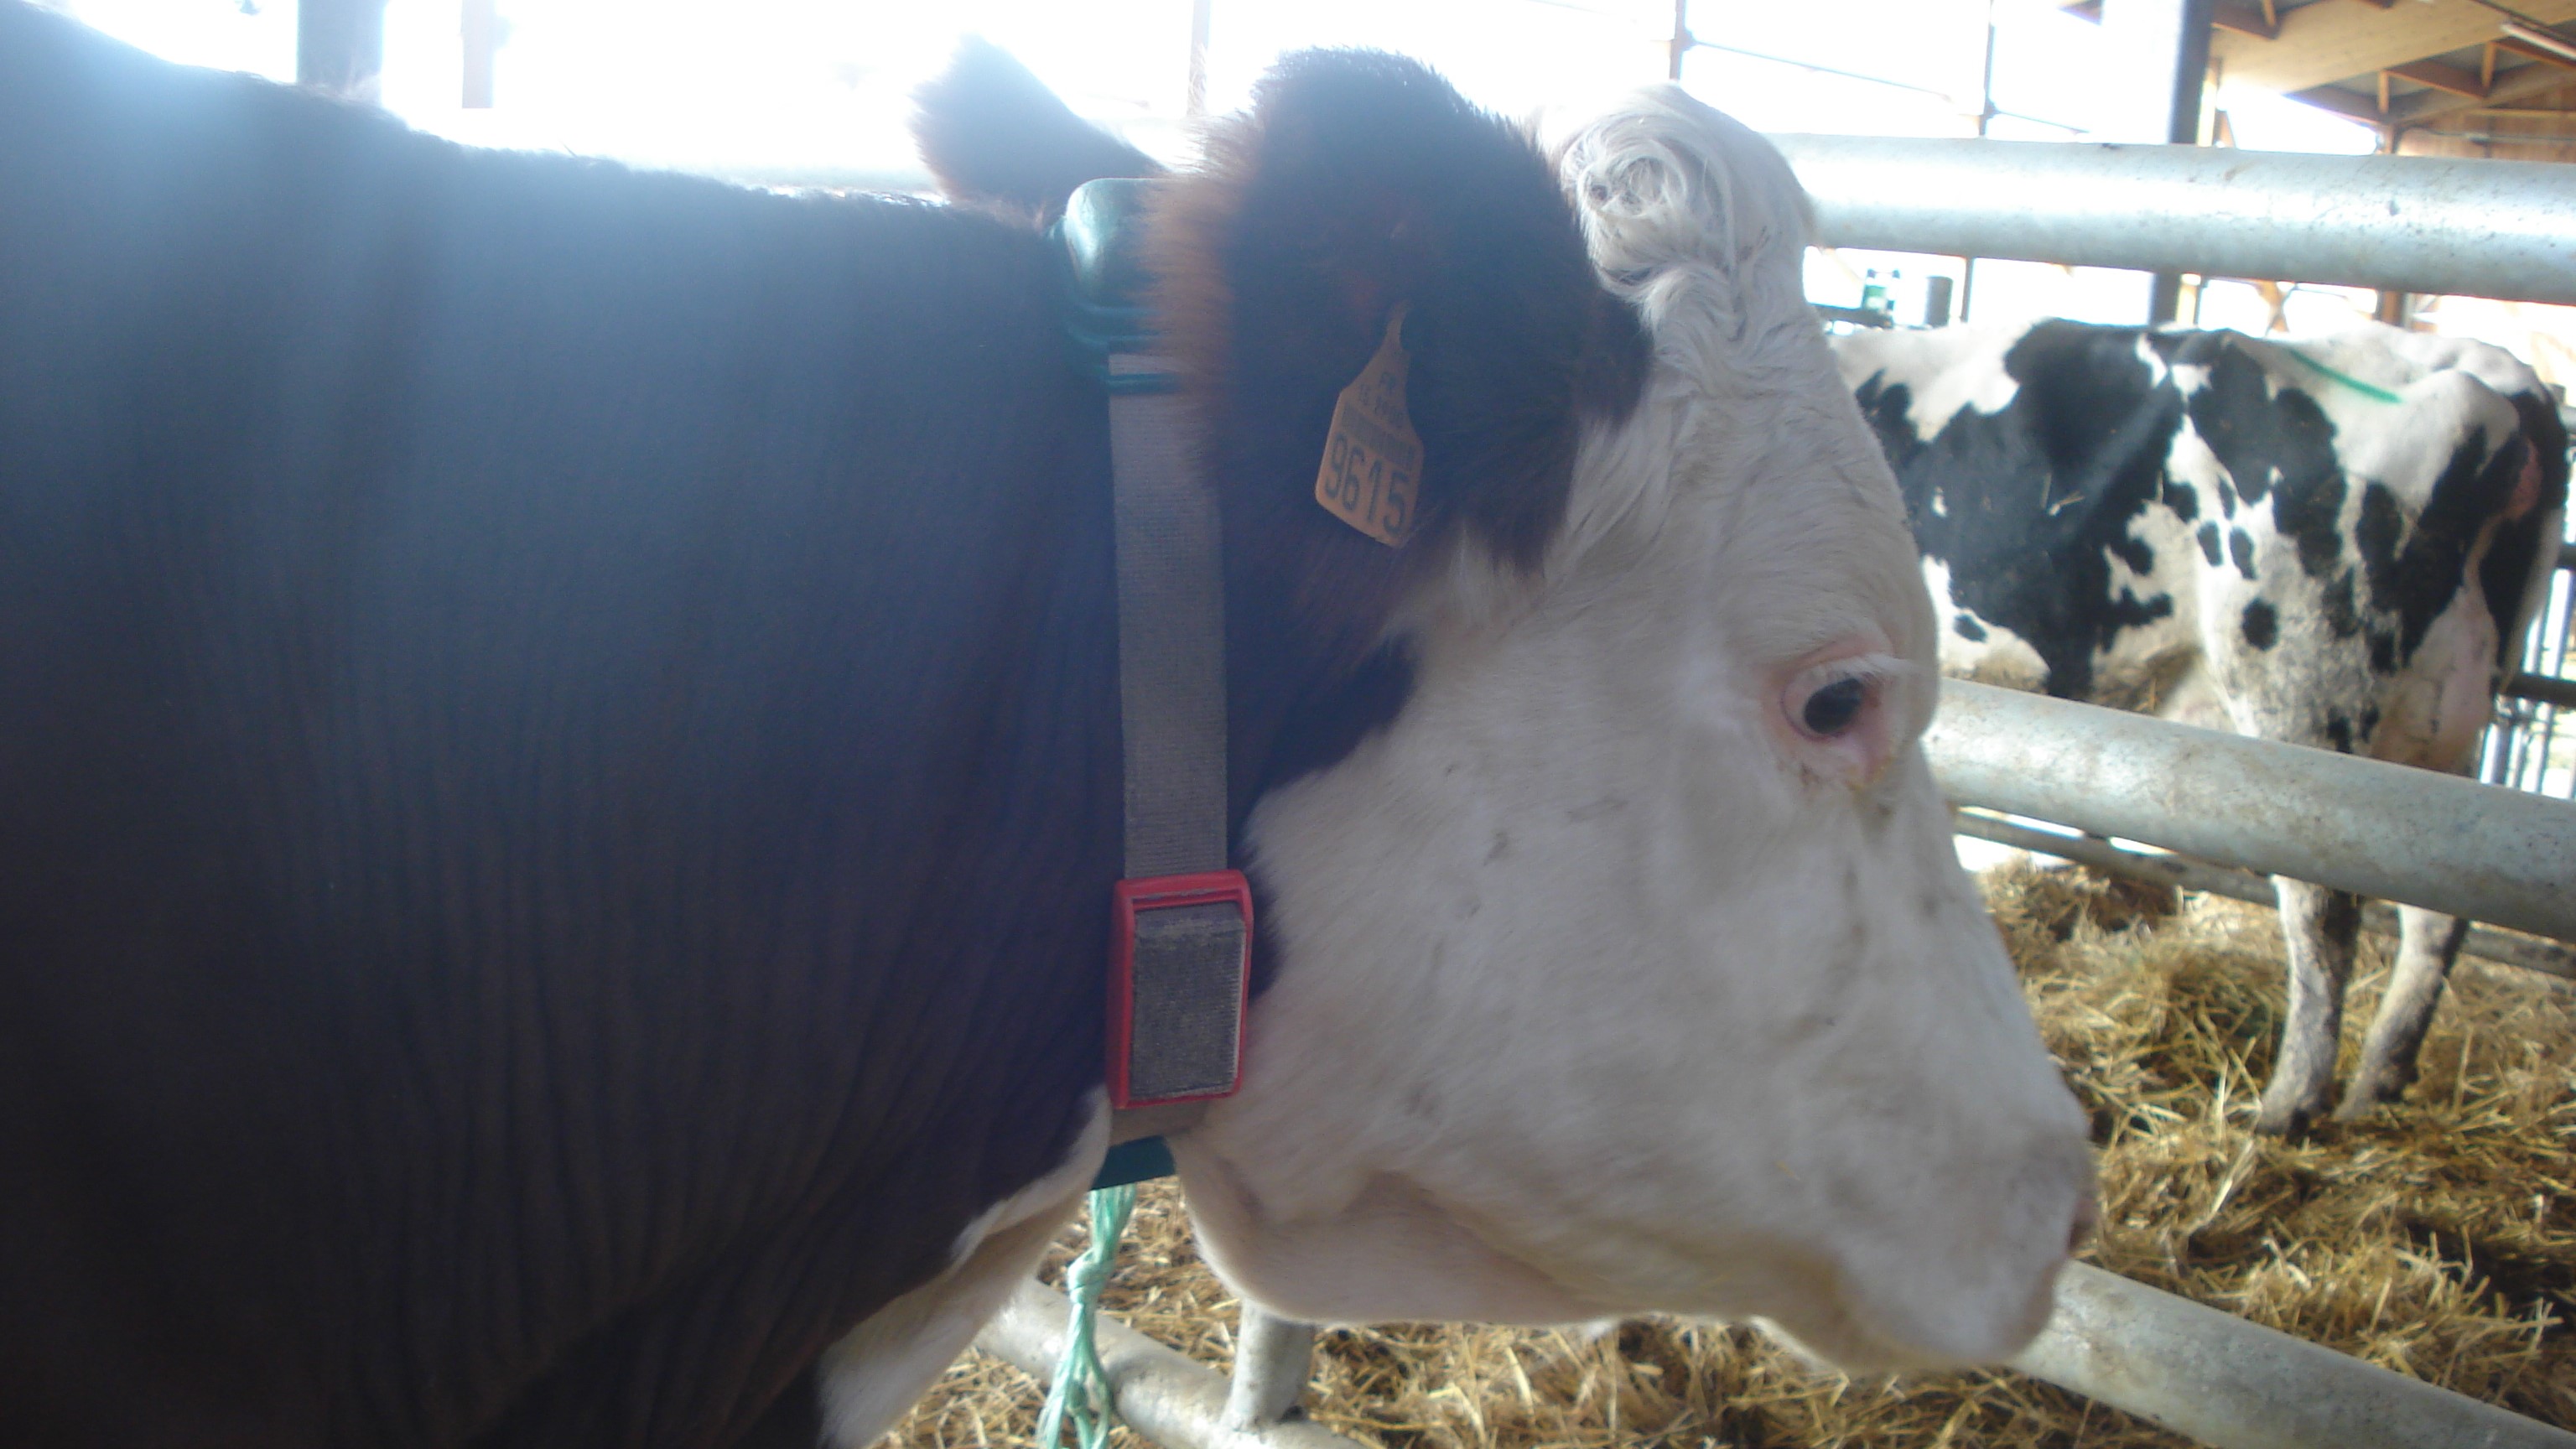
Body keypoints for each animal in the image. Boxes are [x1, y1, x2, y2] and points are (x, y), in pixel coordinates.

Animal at [1832, 318, 2569, 1137]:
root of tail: (2494, 378)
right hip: (2440, 735)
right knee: (2436, 913)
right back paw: (2376, 1084)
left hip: (2308, 703)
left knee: (2326, 913)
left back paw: (2287, 1105)